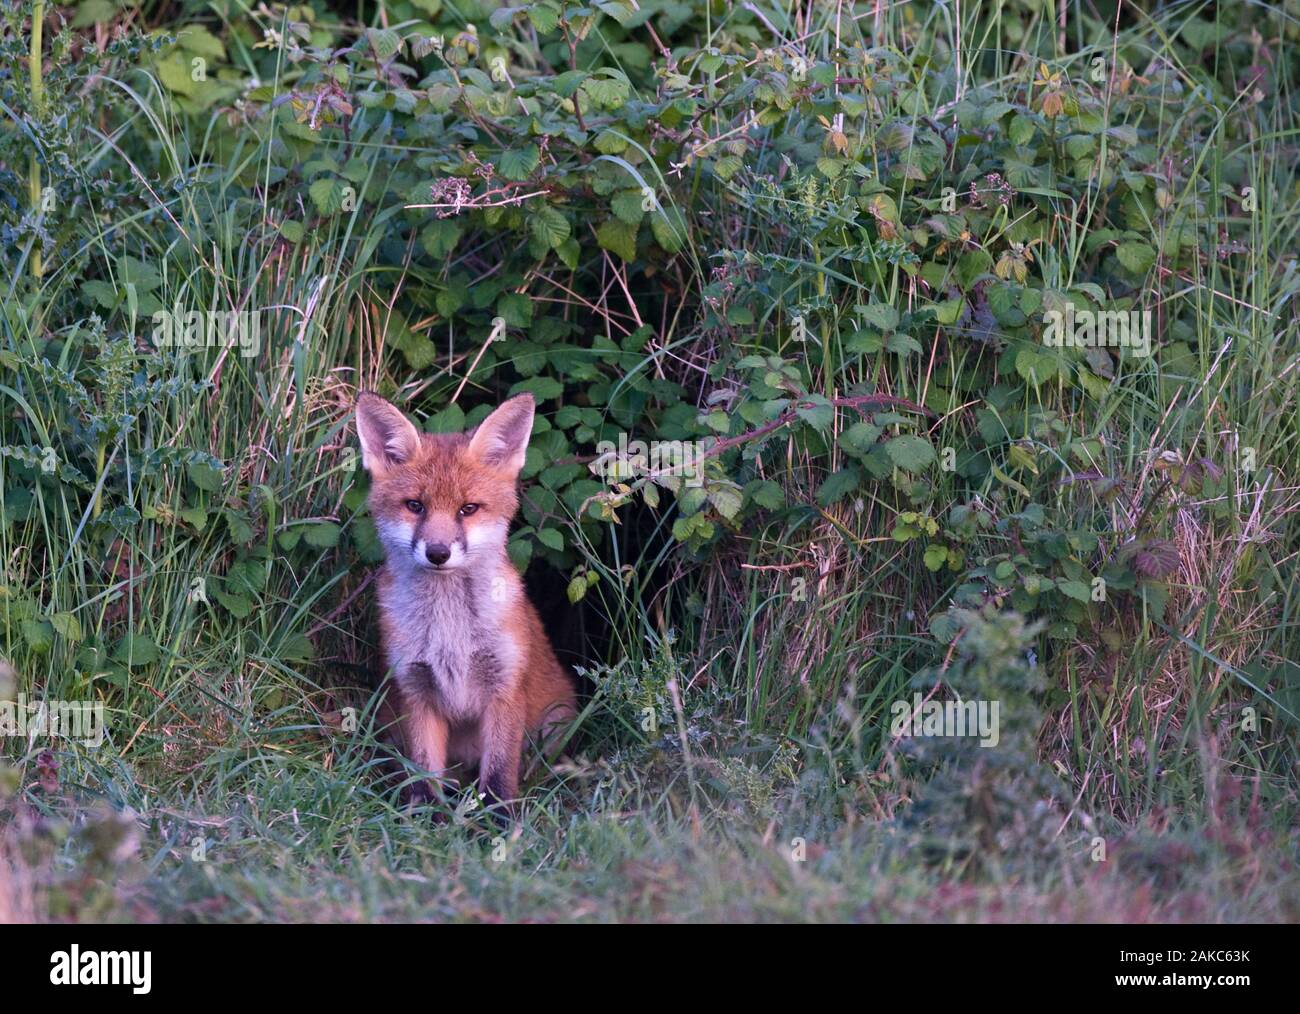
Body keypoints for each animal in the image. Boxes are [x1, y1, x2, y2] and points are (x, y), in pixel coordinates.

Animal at [355, 391, 576, 814]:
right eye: (415, 506)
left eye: (468, 509)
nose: (438, 553)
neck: (450, 633)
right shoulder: (416, 690)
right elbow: (424, 776)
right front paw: (426, 819)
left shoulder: (504, 688)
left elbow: (499, 775)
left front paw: (501, 822)